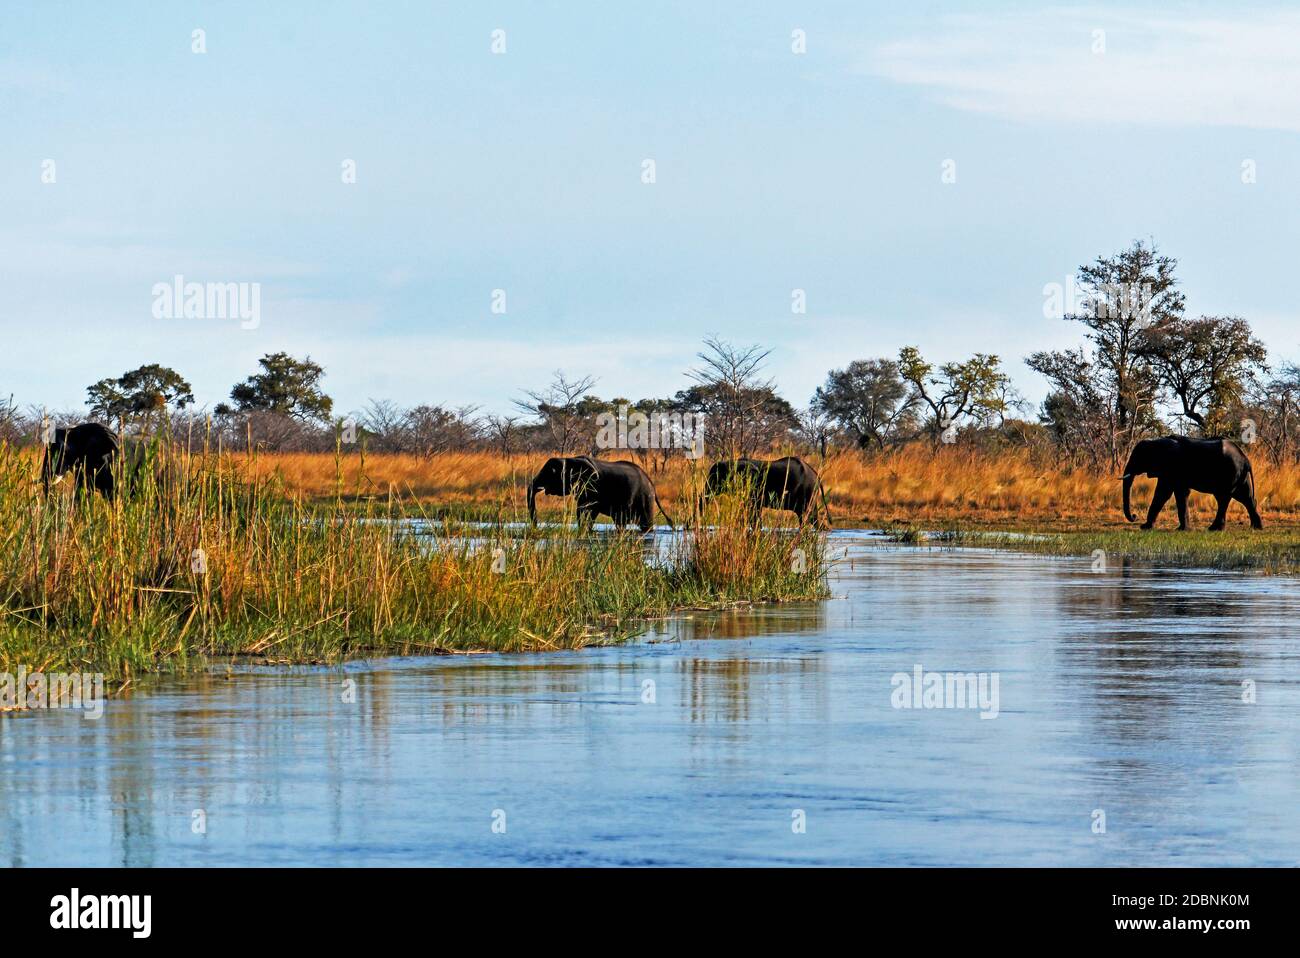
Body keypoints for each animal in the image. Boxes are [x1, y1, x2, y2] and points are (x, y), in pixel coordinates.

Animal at [527, 456, 674, 532]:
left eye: (551, 472)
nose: (535, 527)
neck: (569, 460)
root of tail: (652, 485)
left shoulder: (591, 486)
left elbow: (584, 510)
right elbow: (587, 512)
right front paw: (586, 531)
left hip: (645, 498)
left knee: (645, 524)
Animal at [700, 456, 831, 527]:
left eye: (715, 479)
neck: (733, 462)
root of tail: (816, 475)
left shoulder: (755, 488)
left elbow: (755, 512)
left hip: (808, 492)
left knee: (810, 517)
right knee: (807, 518)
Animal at [1121, 435, 1263, 531]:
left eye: (1137, 458)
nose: (1135, 516)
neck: (1155, 441)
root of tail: (1245, 458)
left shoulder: (1171, 467)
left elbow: (1163, 493)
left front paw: (1144, 527)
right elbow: (1180, 493)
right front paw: (1182, 529)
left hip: (1230, 472)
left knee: (1224, 498)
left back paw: (1214, 528)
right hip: (1240, 475)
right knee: (1246, 498)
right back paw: (1256, 527)